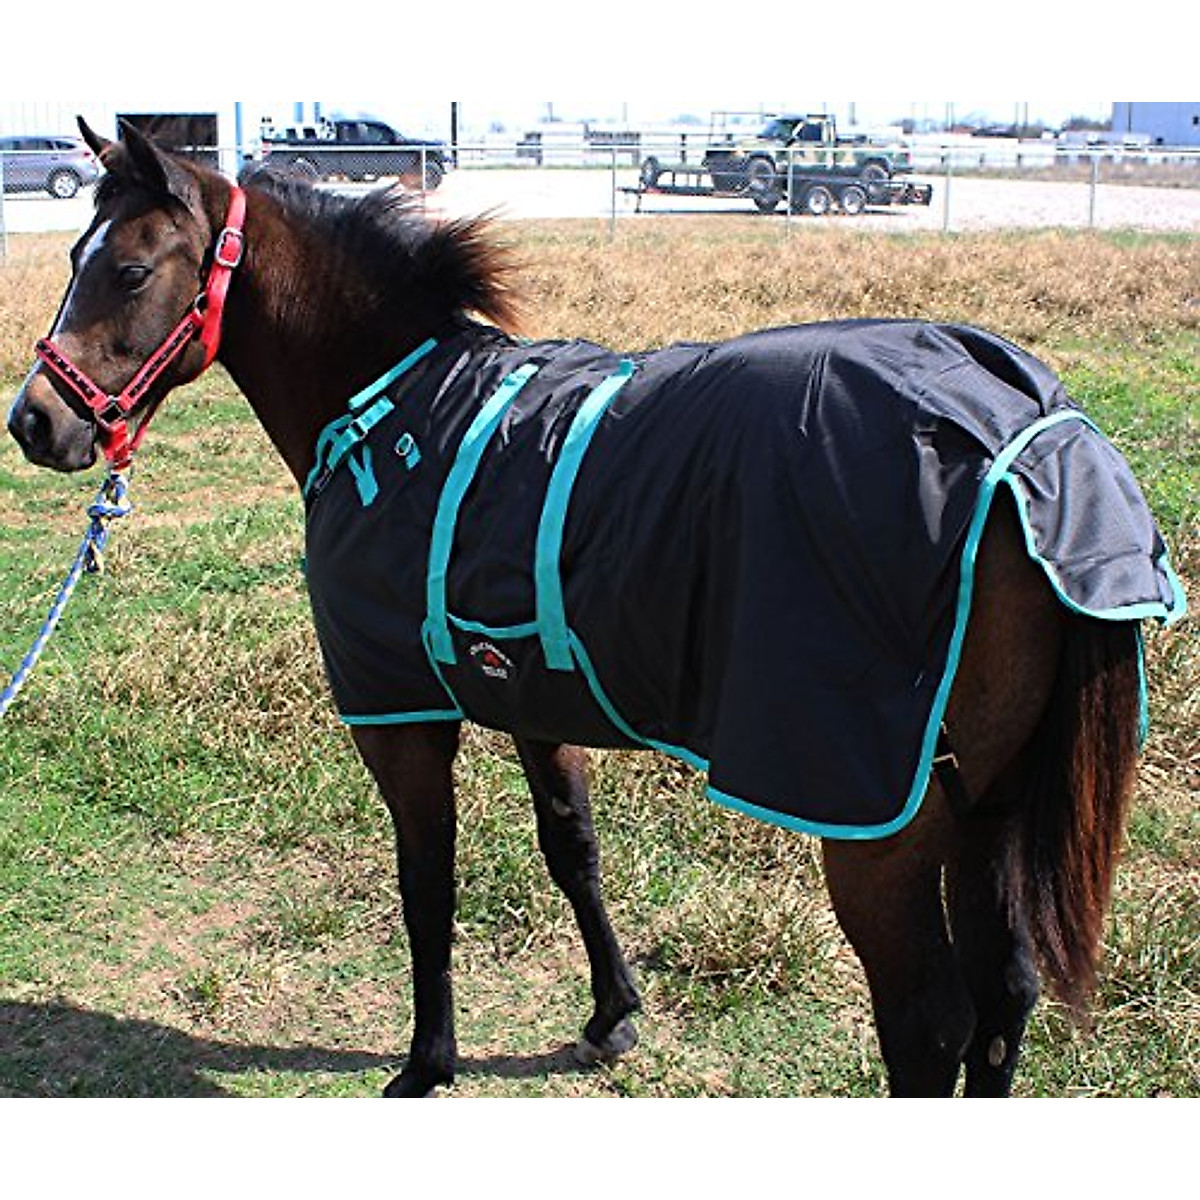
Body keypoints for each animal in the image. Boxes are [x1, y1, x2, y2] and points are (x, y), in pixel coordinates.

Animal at [7, 120, 1185, 1097]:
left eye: (127, 267)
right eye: (71, 258)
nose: (35, 422)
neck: (393, 402)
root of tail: (1038, 436)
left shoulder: (401, 720)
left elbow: (425, 881)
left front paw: (427, 1063)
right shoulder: (533, 696)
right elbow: (571, 849)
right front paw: (612, 1016)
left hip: (879, 829)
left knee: (930, 1024)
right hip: (992, 803)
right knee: (1004, 996)